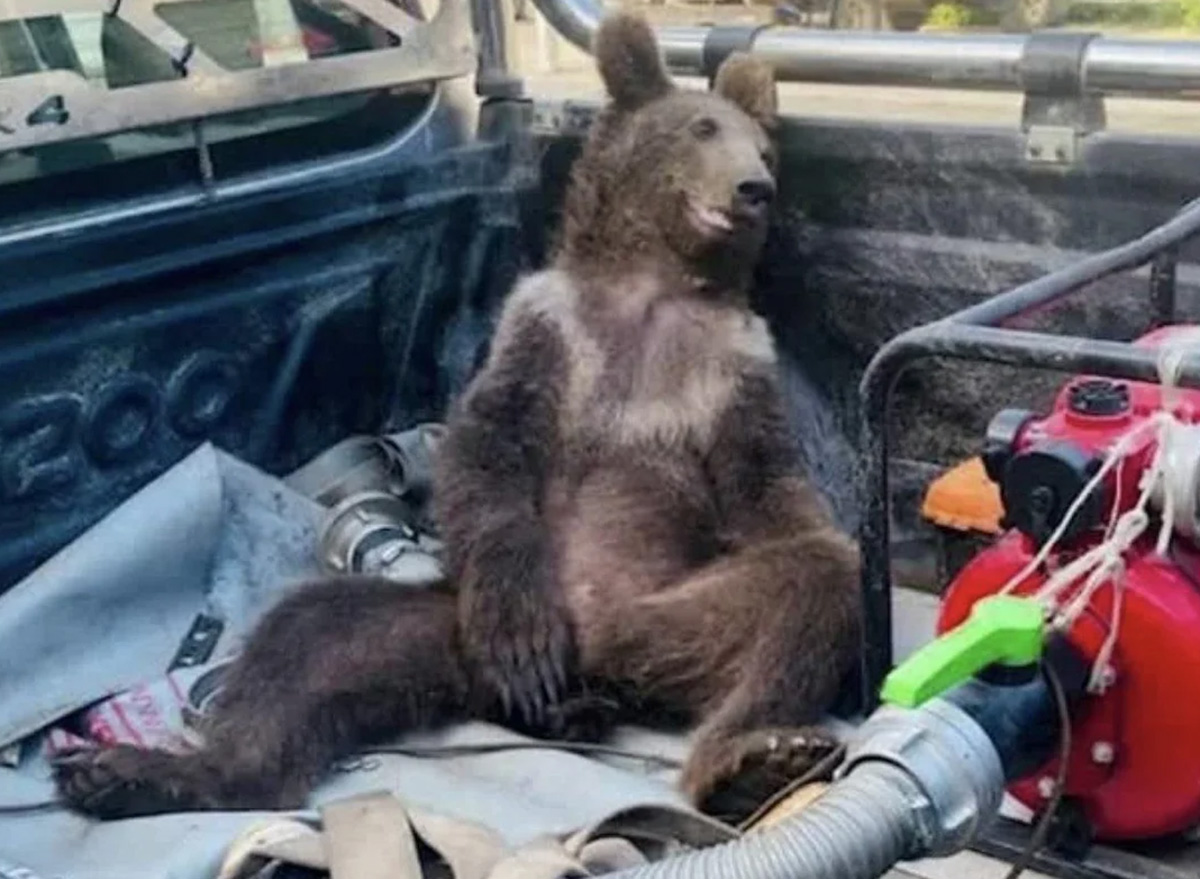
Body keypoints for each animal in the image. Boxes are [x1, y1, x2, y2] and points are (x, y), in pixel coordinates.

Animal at [51, 12, 862, 826]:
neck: (653, 287)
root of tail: (598, 674)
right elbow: (489, 450)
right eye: (702, 128)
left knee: (806, 592)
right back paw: (147, 772)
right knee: (307, 640)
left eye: (762, 148)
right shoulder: (545, 328)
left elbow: (768, 486)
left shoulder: (733, 366)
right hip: (446, 625)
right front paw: (523, 634)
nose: (756, 186)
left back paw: (749, 758)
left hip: (666, 614)